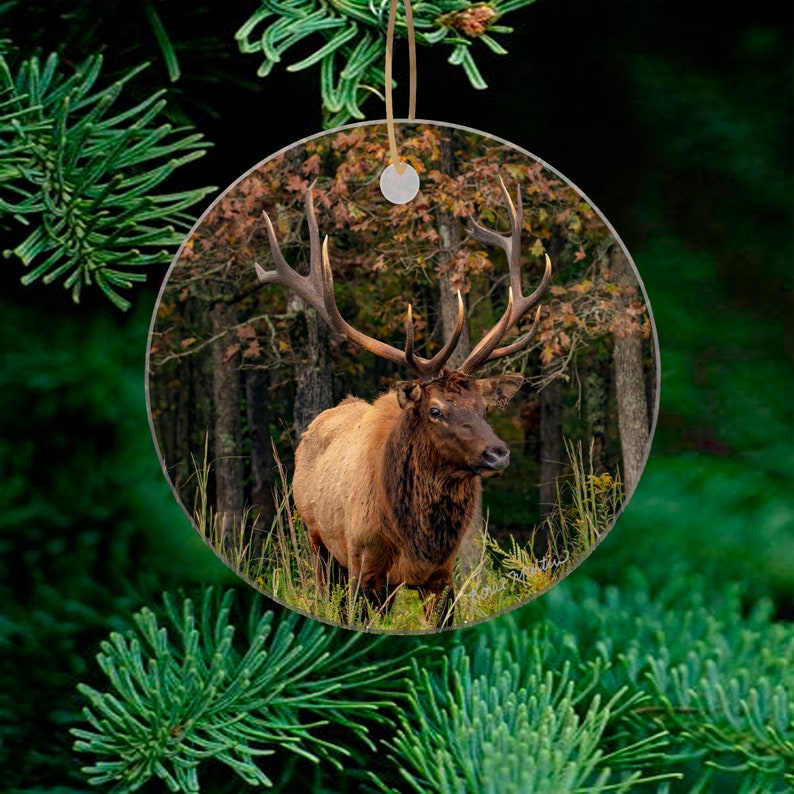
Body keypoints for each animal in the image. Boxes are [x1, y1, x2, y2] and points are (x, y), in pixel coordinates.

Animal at [254, 176, 551, 629]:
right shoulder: (364, 566)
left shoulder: (442, 576)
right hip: (317, 537)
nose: (498, 453)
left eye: (484, 408)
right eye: (436, 411)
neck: (415, 540)